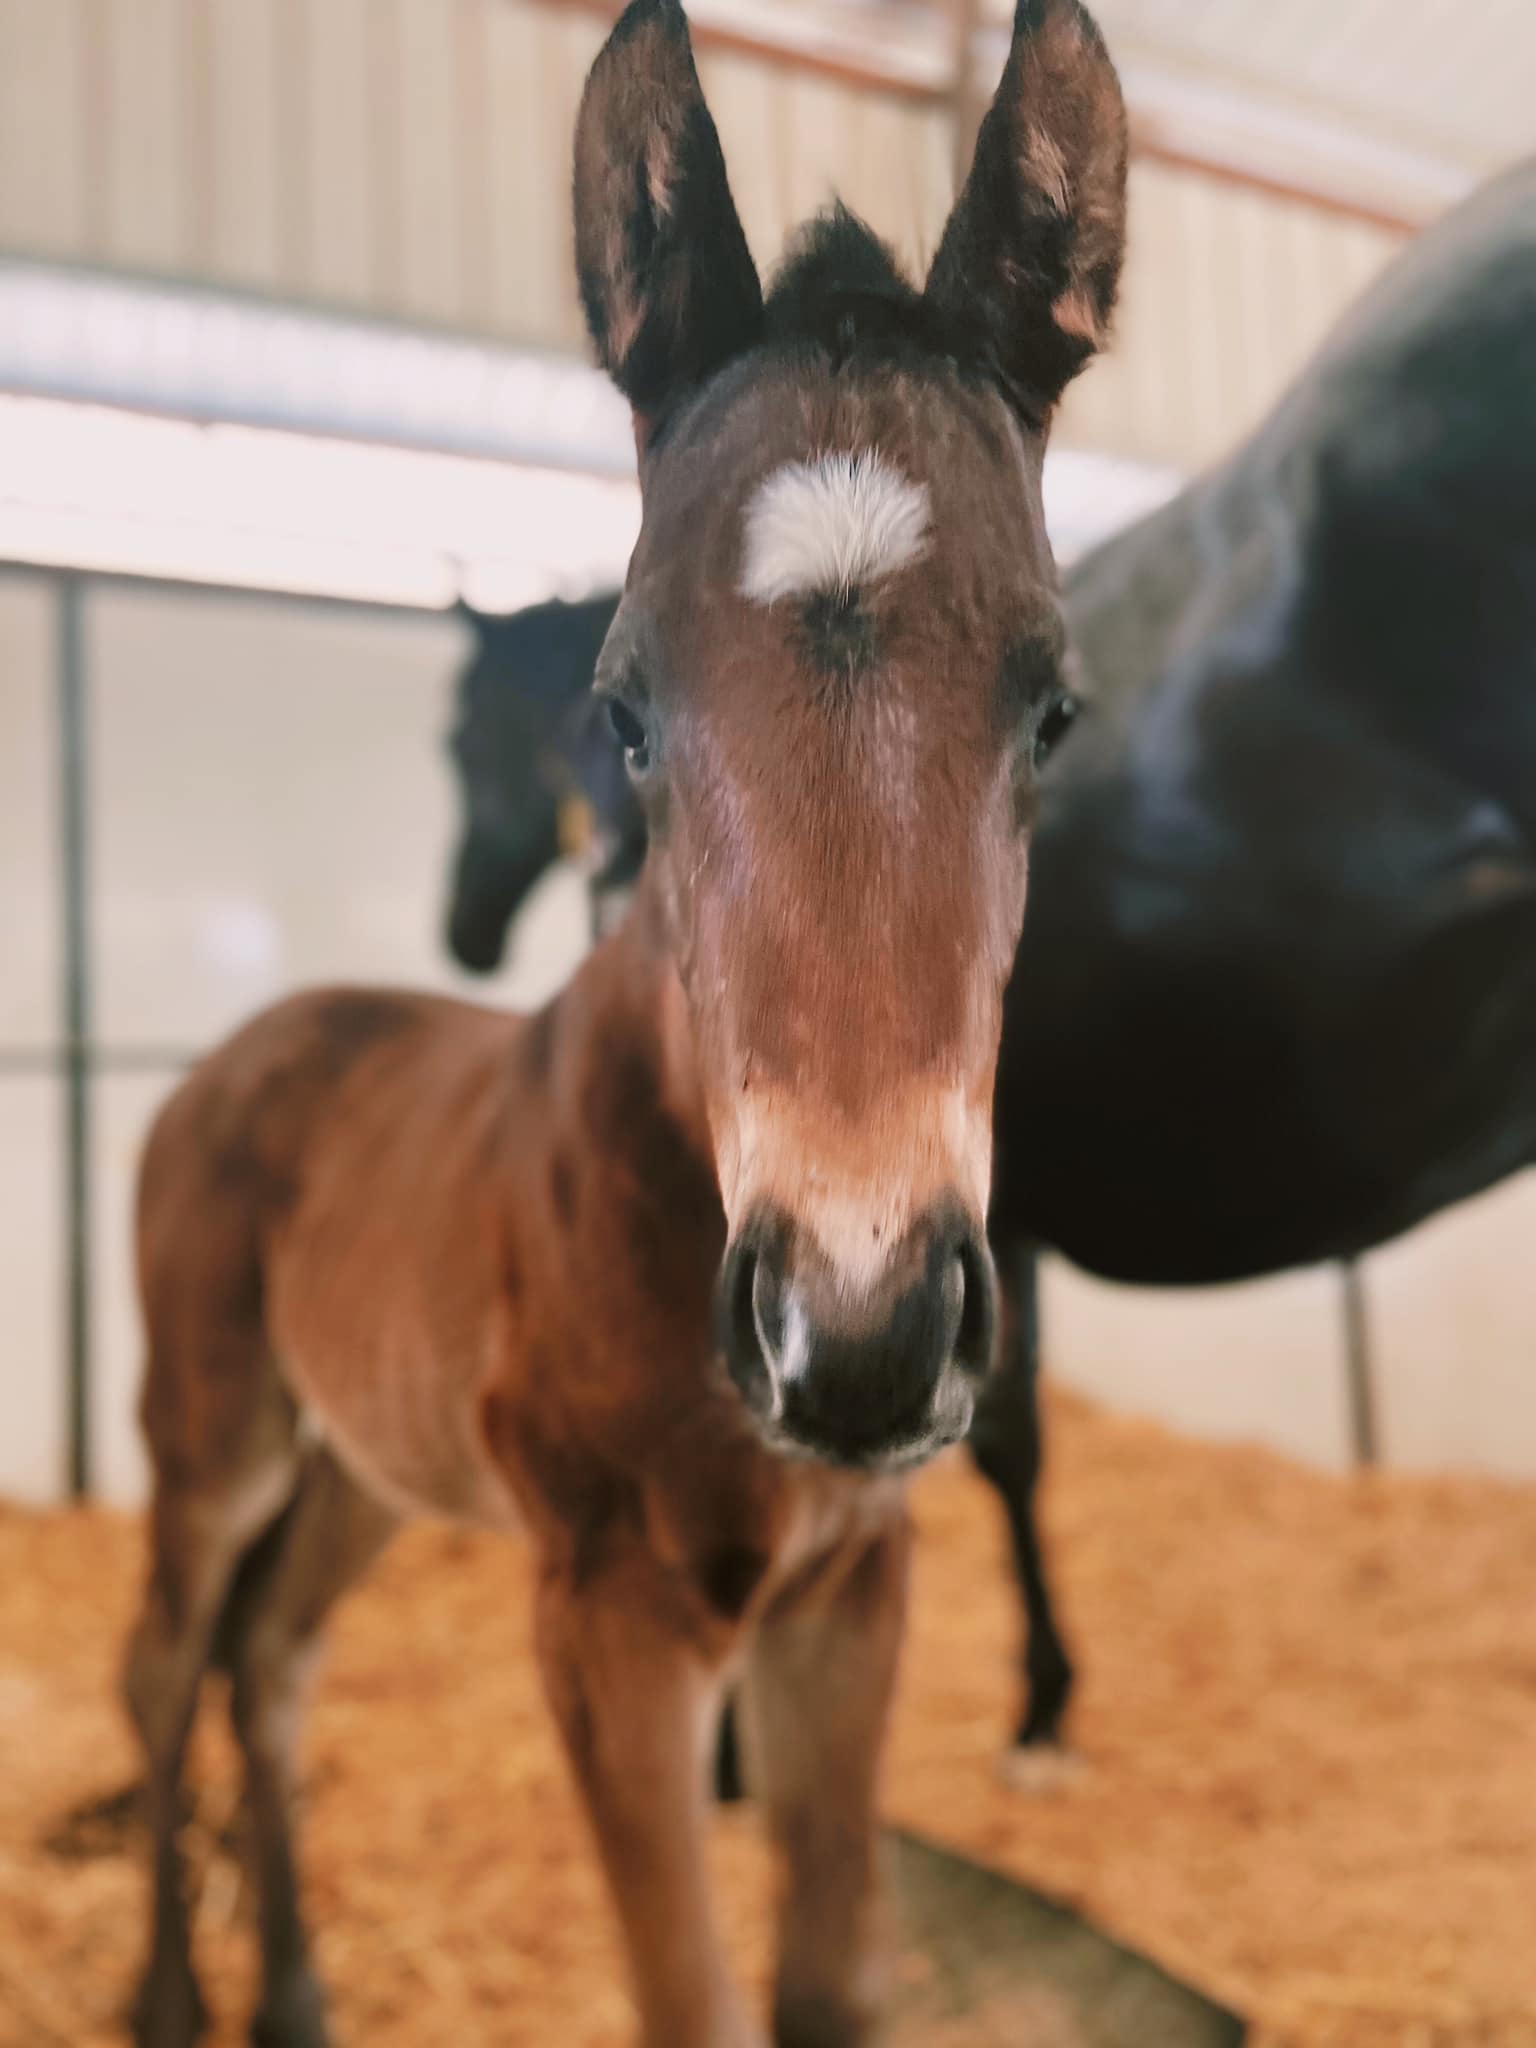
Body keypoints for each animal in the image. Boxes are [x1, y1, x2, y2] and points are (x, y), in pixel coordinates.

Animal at [121, 4, 1130, 2045]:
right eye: (624, 708)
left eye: (1054, 703)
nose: (858, 1336)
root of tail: (243, 1058)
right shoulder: (604, 1614)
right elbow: (694, 1995)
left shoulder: (848, 1601)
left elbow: (830, 1981)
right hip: (215, 1440)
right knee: (173, 1658)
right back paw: (175, 1995)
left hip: (354, 1470)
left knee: (272, 1660)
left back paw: (292, 1990)